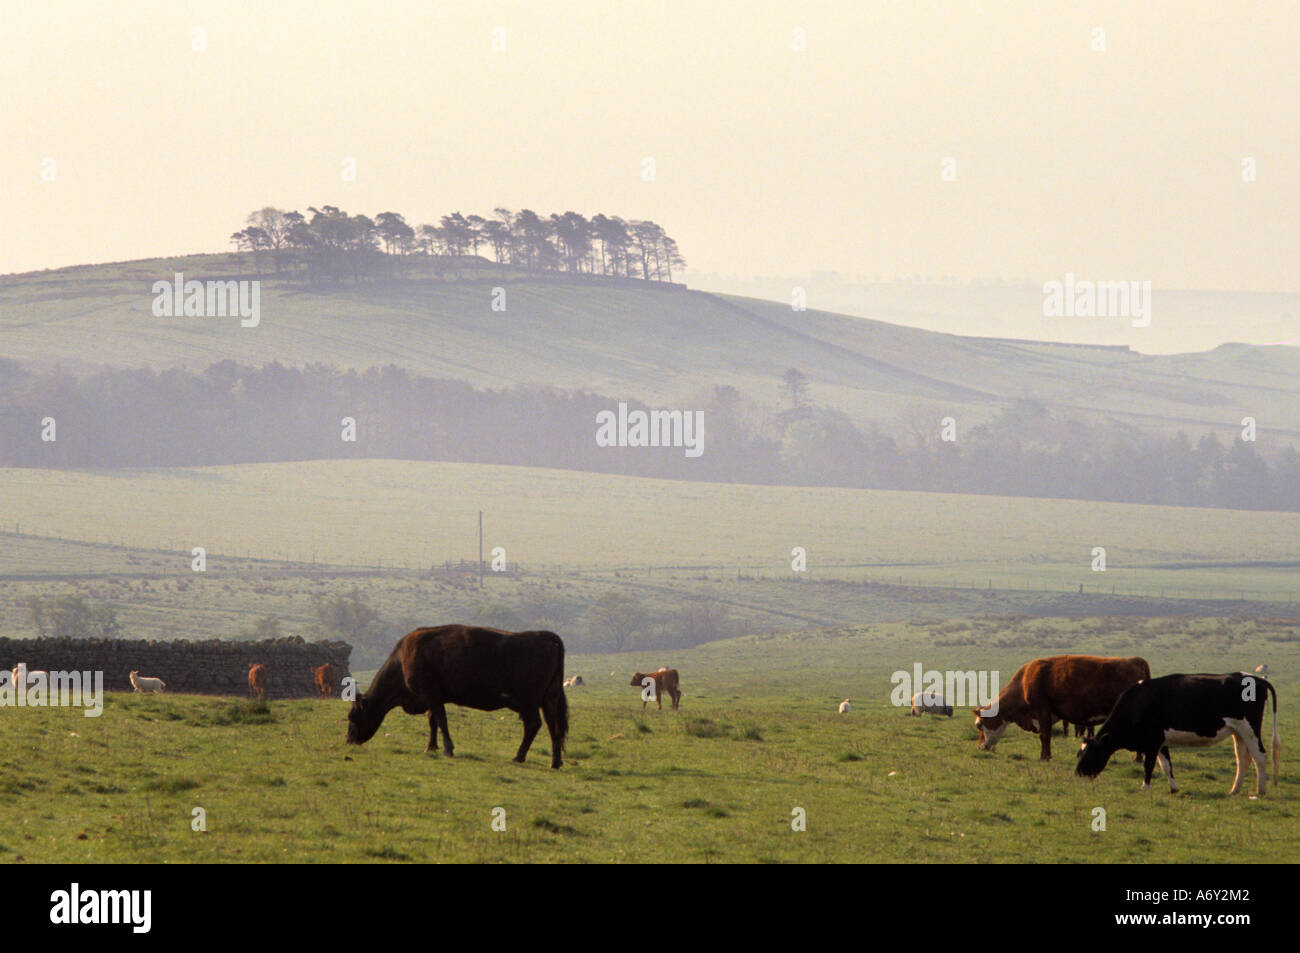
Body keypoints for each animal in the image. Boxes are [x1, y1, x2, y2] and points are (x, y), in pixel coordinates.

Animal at [346, 625, 568, 769]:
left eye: (353, 716)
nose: (349, 740)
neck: (402, 659)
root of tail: (545, 636)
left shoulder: (431, 695)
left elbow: (441, 720)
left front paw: (447, 749)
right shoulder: (432, 699)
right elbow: (433, 721)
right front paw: (431, 747)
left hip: (529, 703)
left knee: (533, 725)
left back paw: (519, 757)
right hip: (549, 700)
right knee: (554, 728)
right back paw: (555, 762)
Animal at [974, 655, 1151, 761]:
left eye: (979, 725)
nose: (980, 747)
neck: (1024, 682)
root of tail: (1135, 660)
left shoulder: (1042, 711)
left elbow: (1045, 736)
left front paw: (1044, 757)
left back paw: (1137, 759)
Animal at [1077, 673, 1281, 796]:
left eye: (1090, 753)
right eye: (1080, 753)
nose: (1078, 773)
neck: (1137, 704)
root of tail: (1256, 679)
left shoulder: (1152, 743)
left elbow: (1149, 765)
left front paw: (1145, 786)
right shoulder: (1161, 742)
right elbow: (1166, 765)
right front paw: (1174, 788)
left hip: (1250, 729)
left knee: (1259, 756)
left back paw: (1260, 791)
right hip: (1238, 732)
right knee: (1243, 758)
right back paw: (1234, 790)